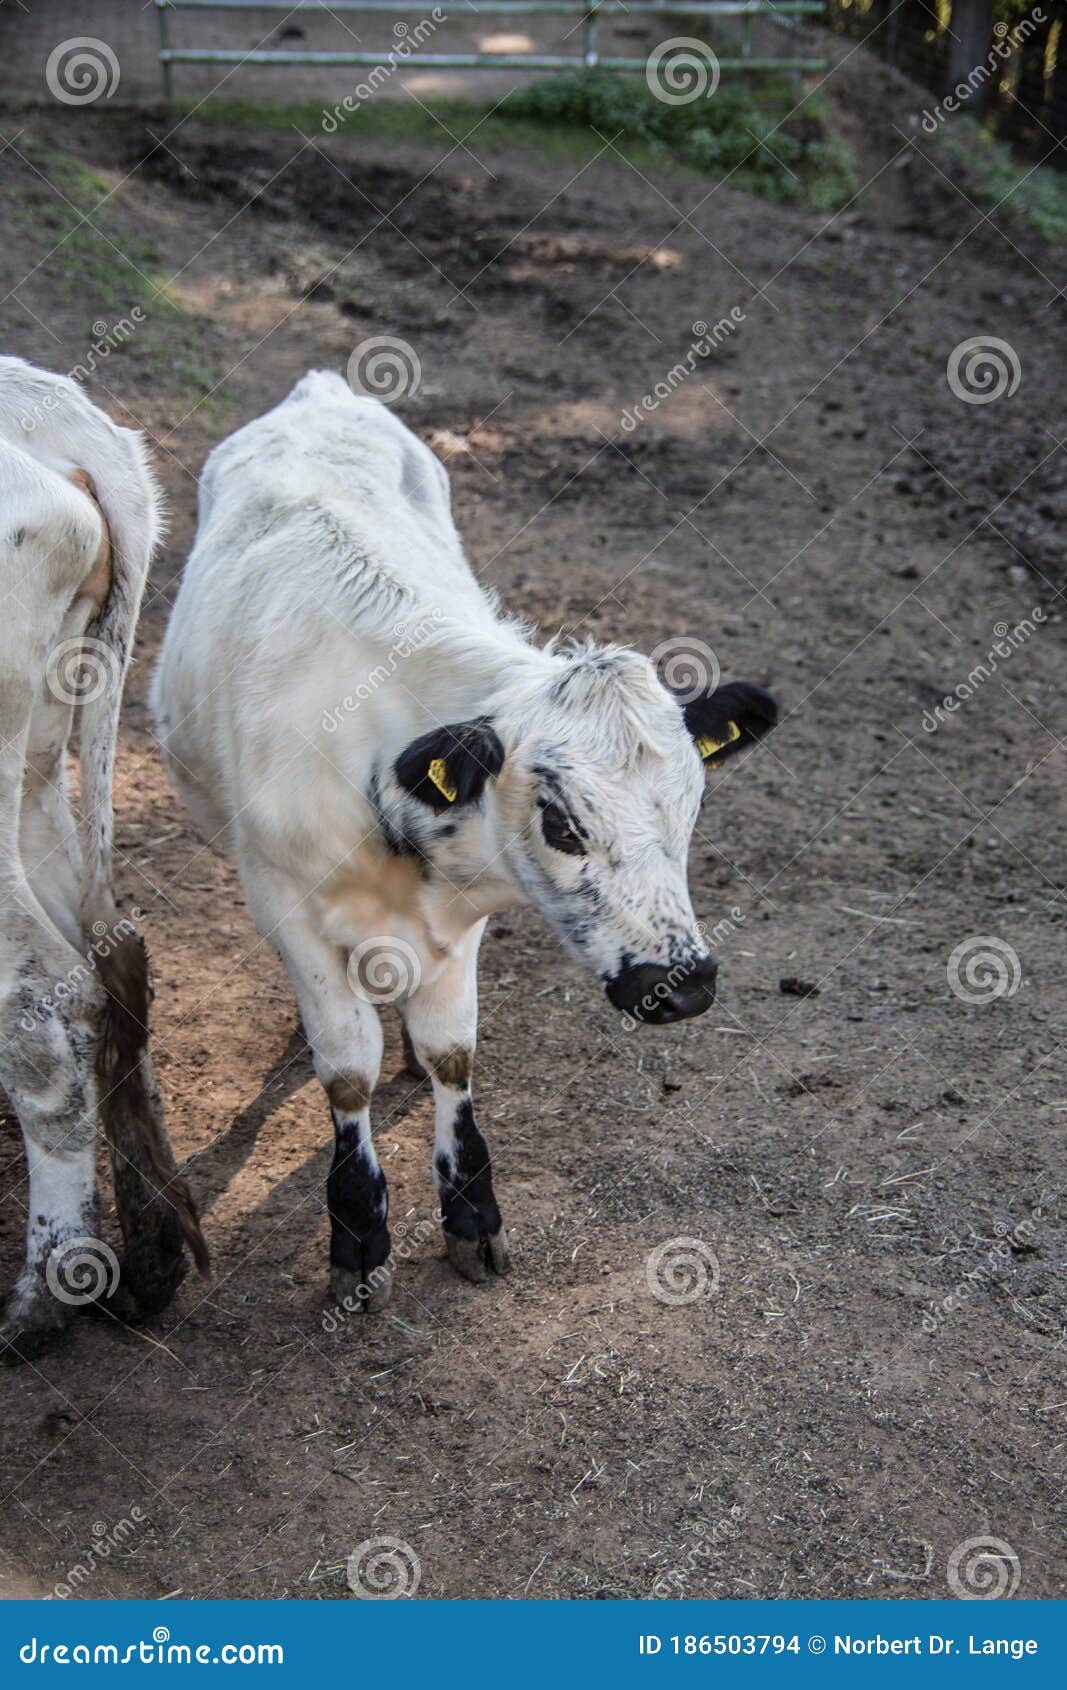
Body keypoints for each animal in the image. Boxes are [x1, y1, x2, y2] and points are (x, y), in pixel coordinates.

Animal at [152, 370, 776, 1311]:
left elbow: (453, 1053)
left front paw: (472, 1215)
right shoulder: (288, 908)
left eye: (690, 808)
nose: (685, 984)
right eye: (561, 823)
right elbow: (346, 1070)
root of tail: (322, 390)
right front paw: (358, 1234)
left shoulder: (461, 924)